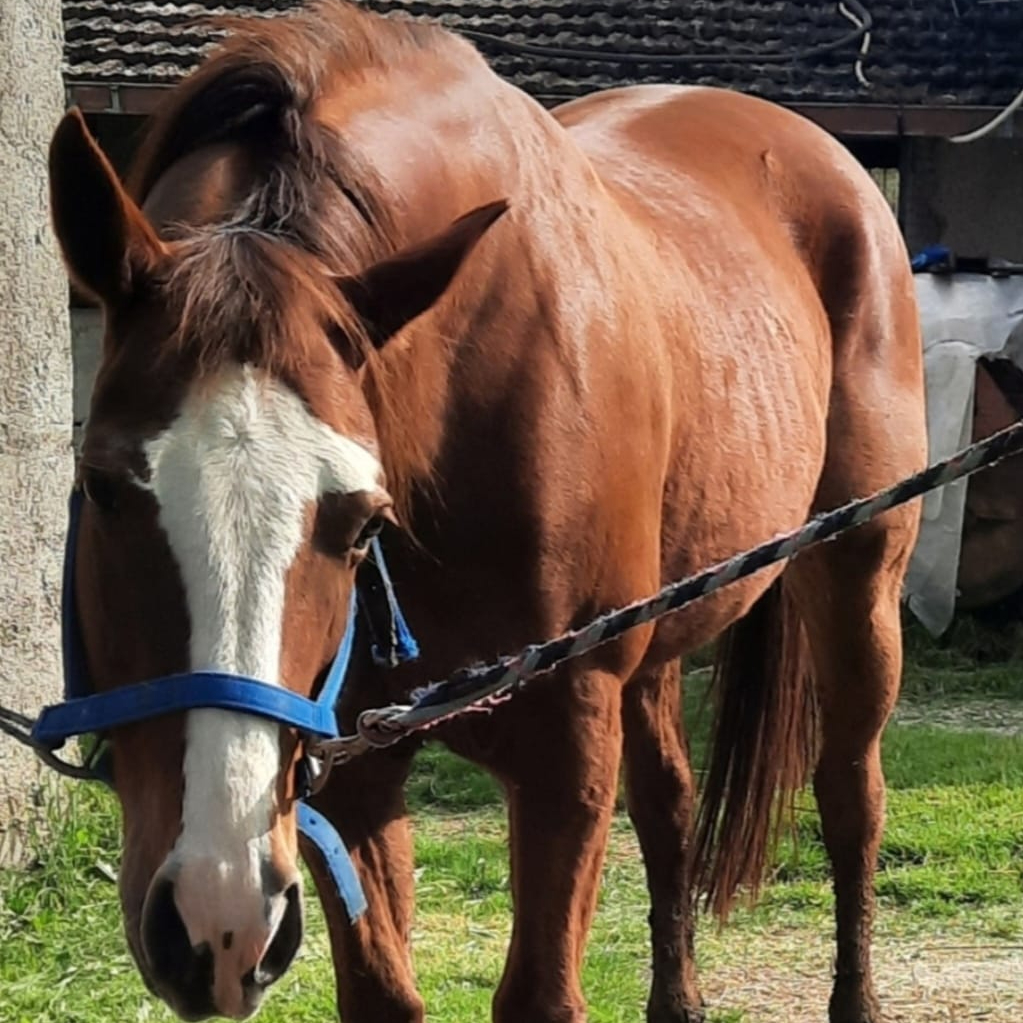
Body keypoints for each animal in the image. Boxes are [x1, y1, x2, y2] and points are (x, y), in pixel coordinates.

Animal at [46, 2, 926, 1021]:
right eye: (102, 485)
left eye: (359, 520)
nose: (215, 916)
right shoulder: (351, 766)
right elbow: (383, 990)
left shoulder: (564, 744)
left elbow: (541, 989)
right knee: (668, 808)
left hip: (857, 581)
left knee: (849, 797)